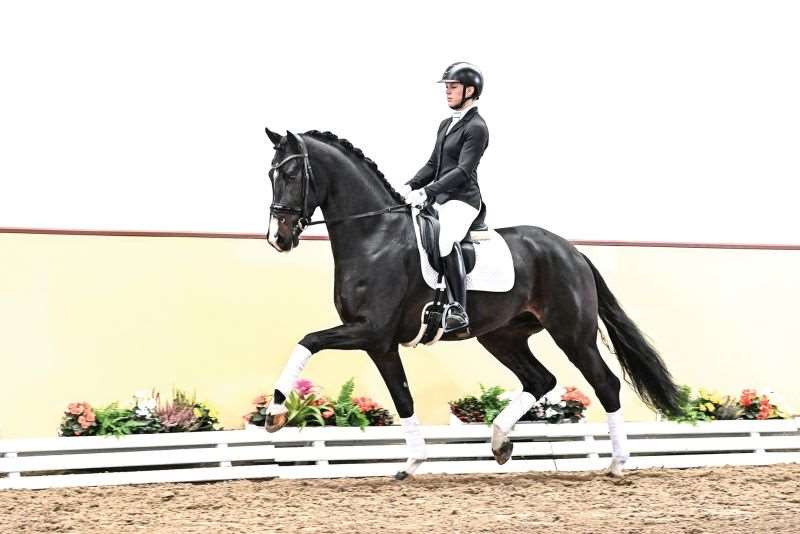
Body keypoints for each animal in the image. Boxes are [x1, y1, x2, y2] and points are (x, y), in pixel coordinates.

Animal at [262, 126, 681, 479]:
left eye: (292, 175)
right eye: (271, 174)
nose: (278, 238)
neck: (375, 236)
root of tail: (571, 251)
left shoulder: (370, 331)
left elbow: (308, 341)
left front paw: (275, 412)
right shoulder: (379, 344)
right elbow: (402, 397)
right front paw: (412, 463)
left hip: (572, 333)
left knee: (605, 383)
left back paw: (618, 463)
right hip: (502, 336)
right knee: (540, 379)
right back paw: (499, 441)